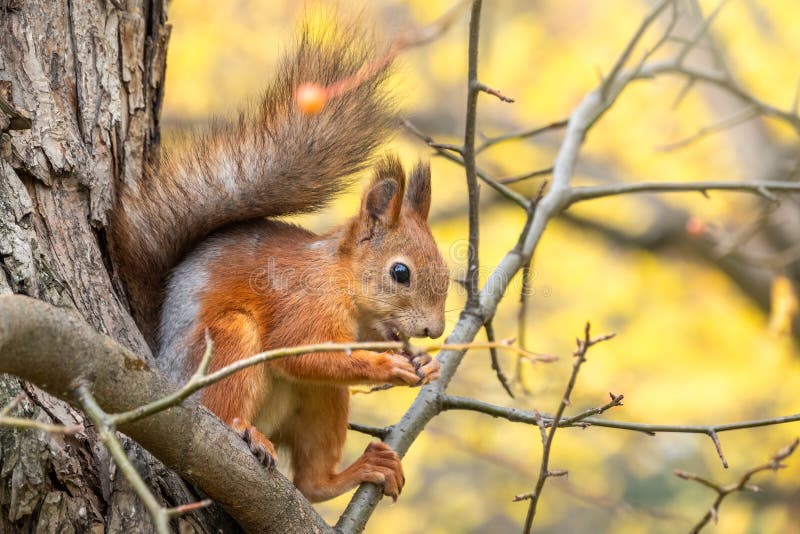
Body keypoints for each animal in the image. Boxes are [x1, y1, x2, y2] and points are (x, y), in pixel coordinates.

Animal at [109, 20, 449, 503]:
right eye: (400, 272)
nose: (434, 331)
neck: (342, 282)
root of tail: (162, 361)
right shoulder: (304, 306)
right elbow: (301, 354)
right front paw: (390, 366)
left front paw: (427, 364)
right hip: (225, 346)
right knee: (221, 408)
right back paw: (243, 431)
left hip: (323, 402)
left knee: (311, 481)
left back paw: (351, 473)